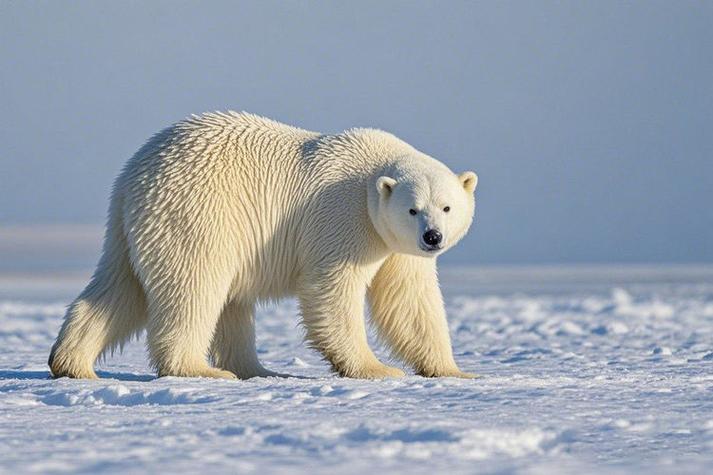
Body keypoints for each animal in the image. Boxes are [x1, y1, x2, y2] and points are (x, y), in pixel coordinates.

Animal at [48, 111, 478, 380]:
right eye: (412, 208)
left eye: (446, 206)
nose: (432, 237)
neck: (373, 175)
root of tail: (132, 174)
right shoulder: (345, 218)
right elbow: (331, 291)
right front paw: (376, 368)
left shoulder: (394, 245)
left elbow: (410, 300)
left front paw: (457, 370)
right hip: (198, 212)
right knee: (194, 287)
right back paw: (202, 368)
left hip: (129, 228)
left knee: (119, 290)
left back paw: (73, 363)